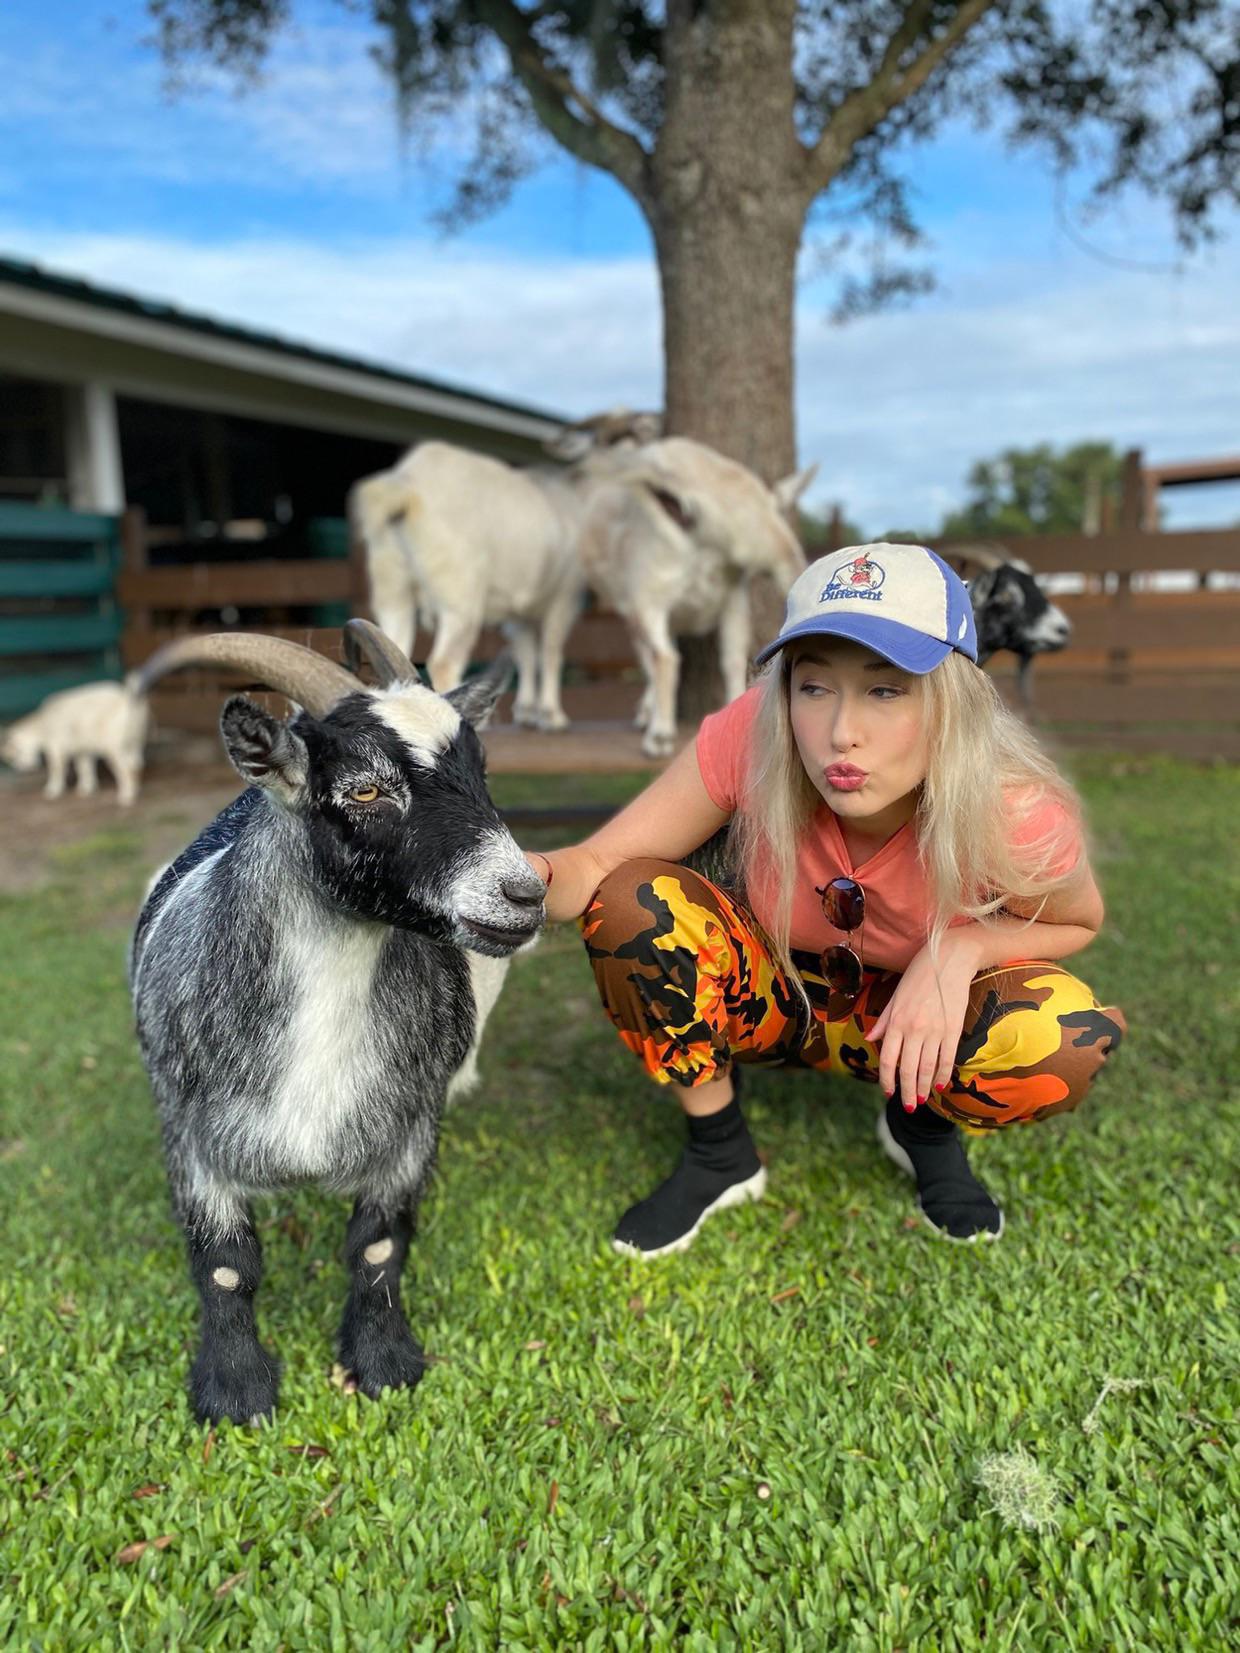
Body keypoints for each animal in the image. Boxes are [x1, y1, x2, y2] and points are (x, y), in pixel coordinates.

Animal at [1, 677, 148, 806]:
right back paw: (136, 787)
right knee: (136, 763)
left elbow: (56, 767)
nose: (21, 769)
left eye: (13, 756)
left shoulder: (56, 744)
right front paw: (86, 788)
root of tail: (130, 699)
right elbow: (84, 766)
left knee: (124, 767)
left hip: (113, 743)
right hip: (135, 738)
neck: (42, 723)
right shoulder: (81, 746)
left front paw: (52, 790)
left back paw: (126, 796)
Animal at [129, 622, 545, 1425]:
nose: (525, 893)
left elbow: (378, 1247)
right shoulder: (188, 1135)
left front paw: (383, 1363)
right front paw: (235, 1390)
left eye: (481, 770)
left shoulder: (409, 1131)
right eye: (366, 788)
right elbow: (225, 1265)